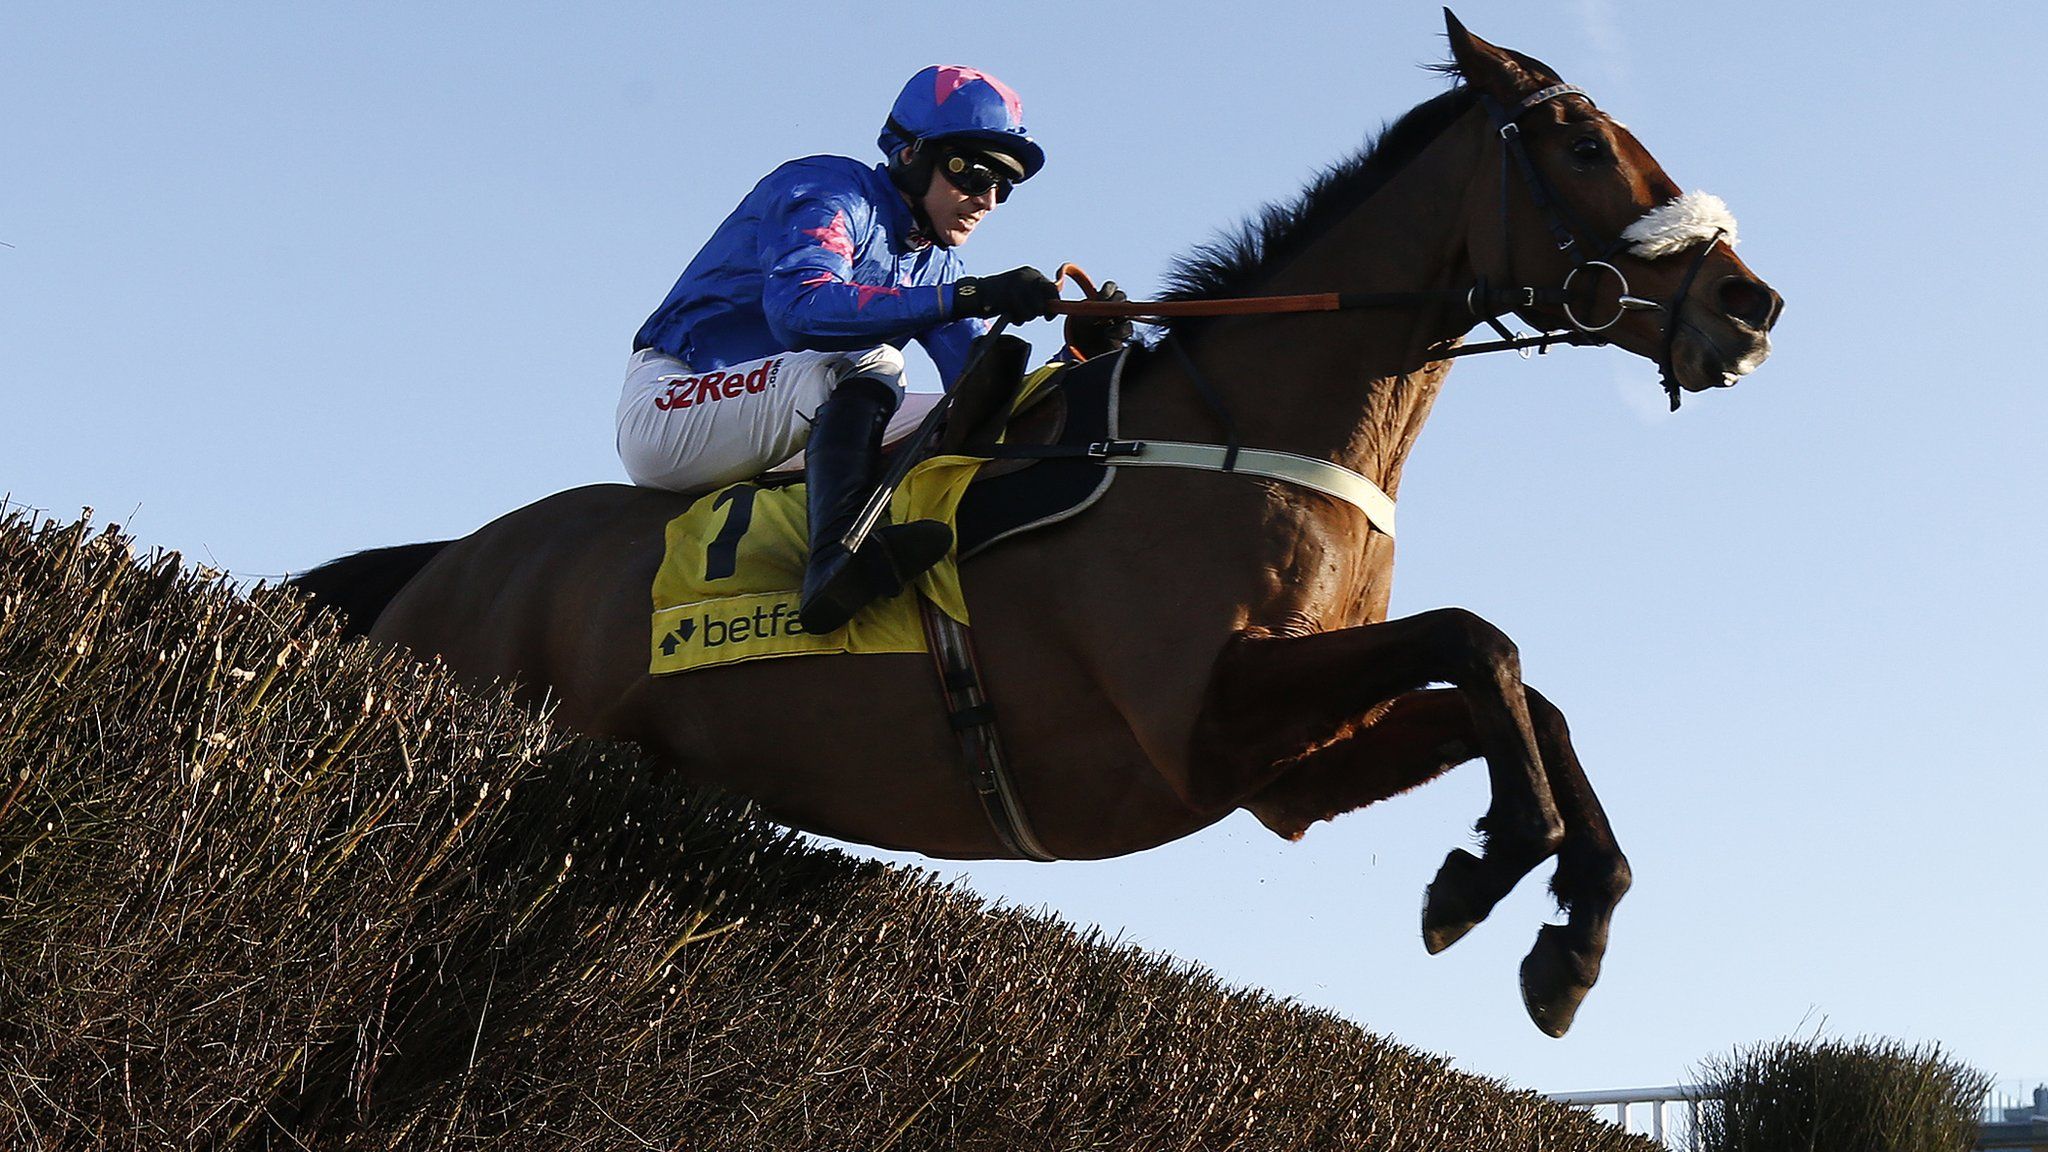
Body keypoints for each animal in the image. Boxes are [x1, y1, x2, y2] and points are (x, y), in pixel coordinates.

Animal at [293, 13, 1781, 1036]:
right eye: (1583, 144)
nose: (1749, 304)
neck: (1247, 425)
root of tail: (450, 561)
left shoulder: (1285, 769)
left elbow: (1522, 690)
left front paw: (1566, 927)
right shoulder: (1201, 726)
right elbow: (1480, 642)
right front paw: (1493, 876)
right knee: (849, 367)